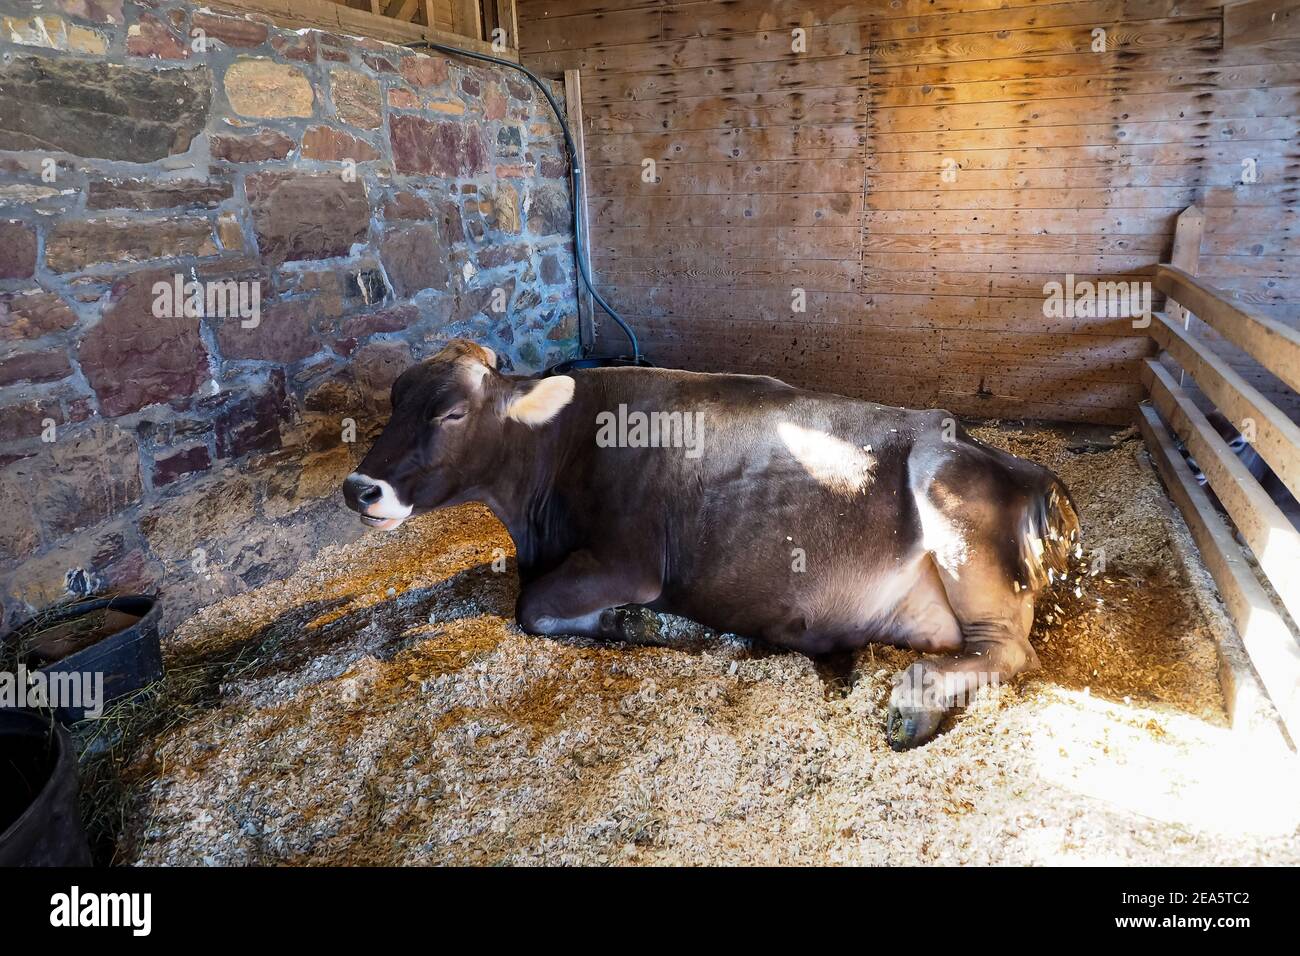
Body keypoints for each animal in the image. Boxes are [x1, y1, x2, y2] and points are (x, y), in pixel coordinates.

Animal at [343, 340, 1081, 750]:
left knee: (1009, 651)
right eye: (394, 400)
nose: (359, 487)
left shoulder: (629, 562)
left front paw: (645, 622)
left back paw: (913, 706)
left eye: (451, 413)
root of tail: (1029, 470)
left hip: (953, 515)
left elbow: (532, 606)